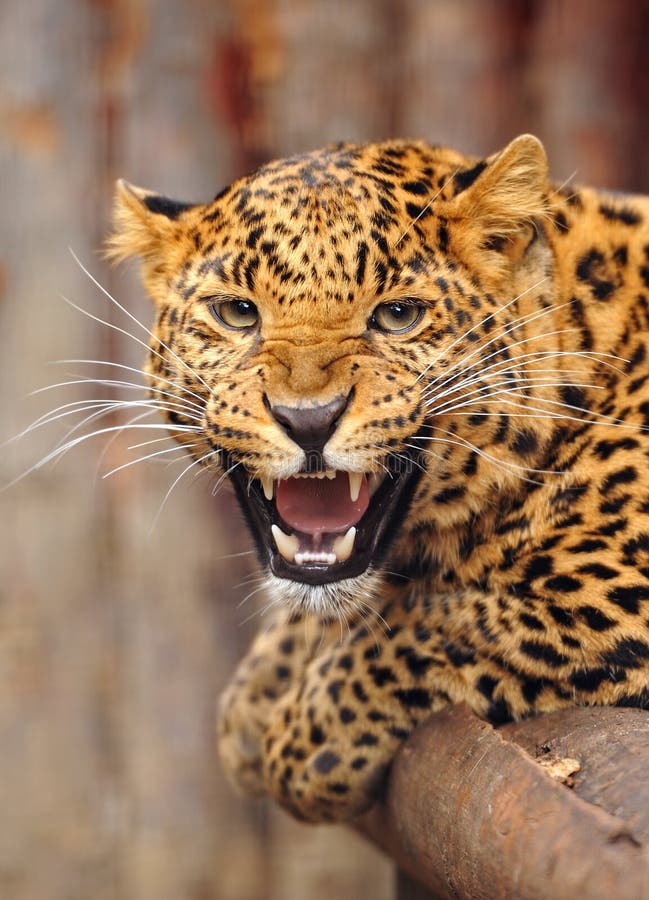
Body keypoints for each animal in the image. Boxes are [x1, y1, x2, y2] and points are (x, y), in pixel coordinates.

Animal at [108, 133, 649, 823]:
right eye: (236, 313)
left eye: (397, 316)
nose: (308, 419)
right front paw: (257, 696)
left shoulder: (606, 591)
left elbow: (444, 624)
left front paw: (306, 740)